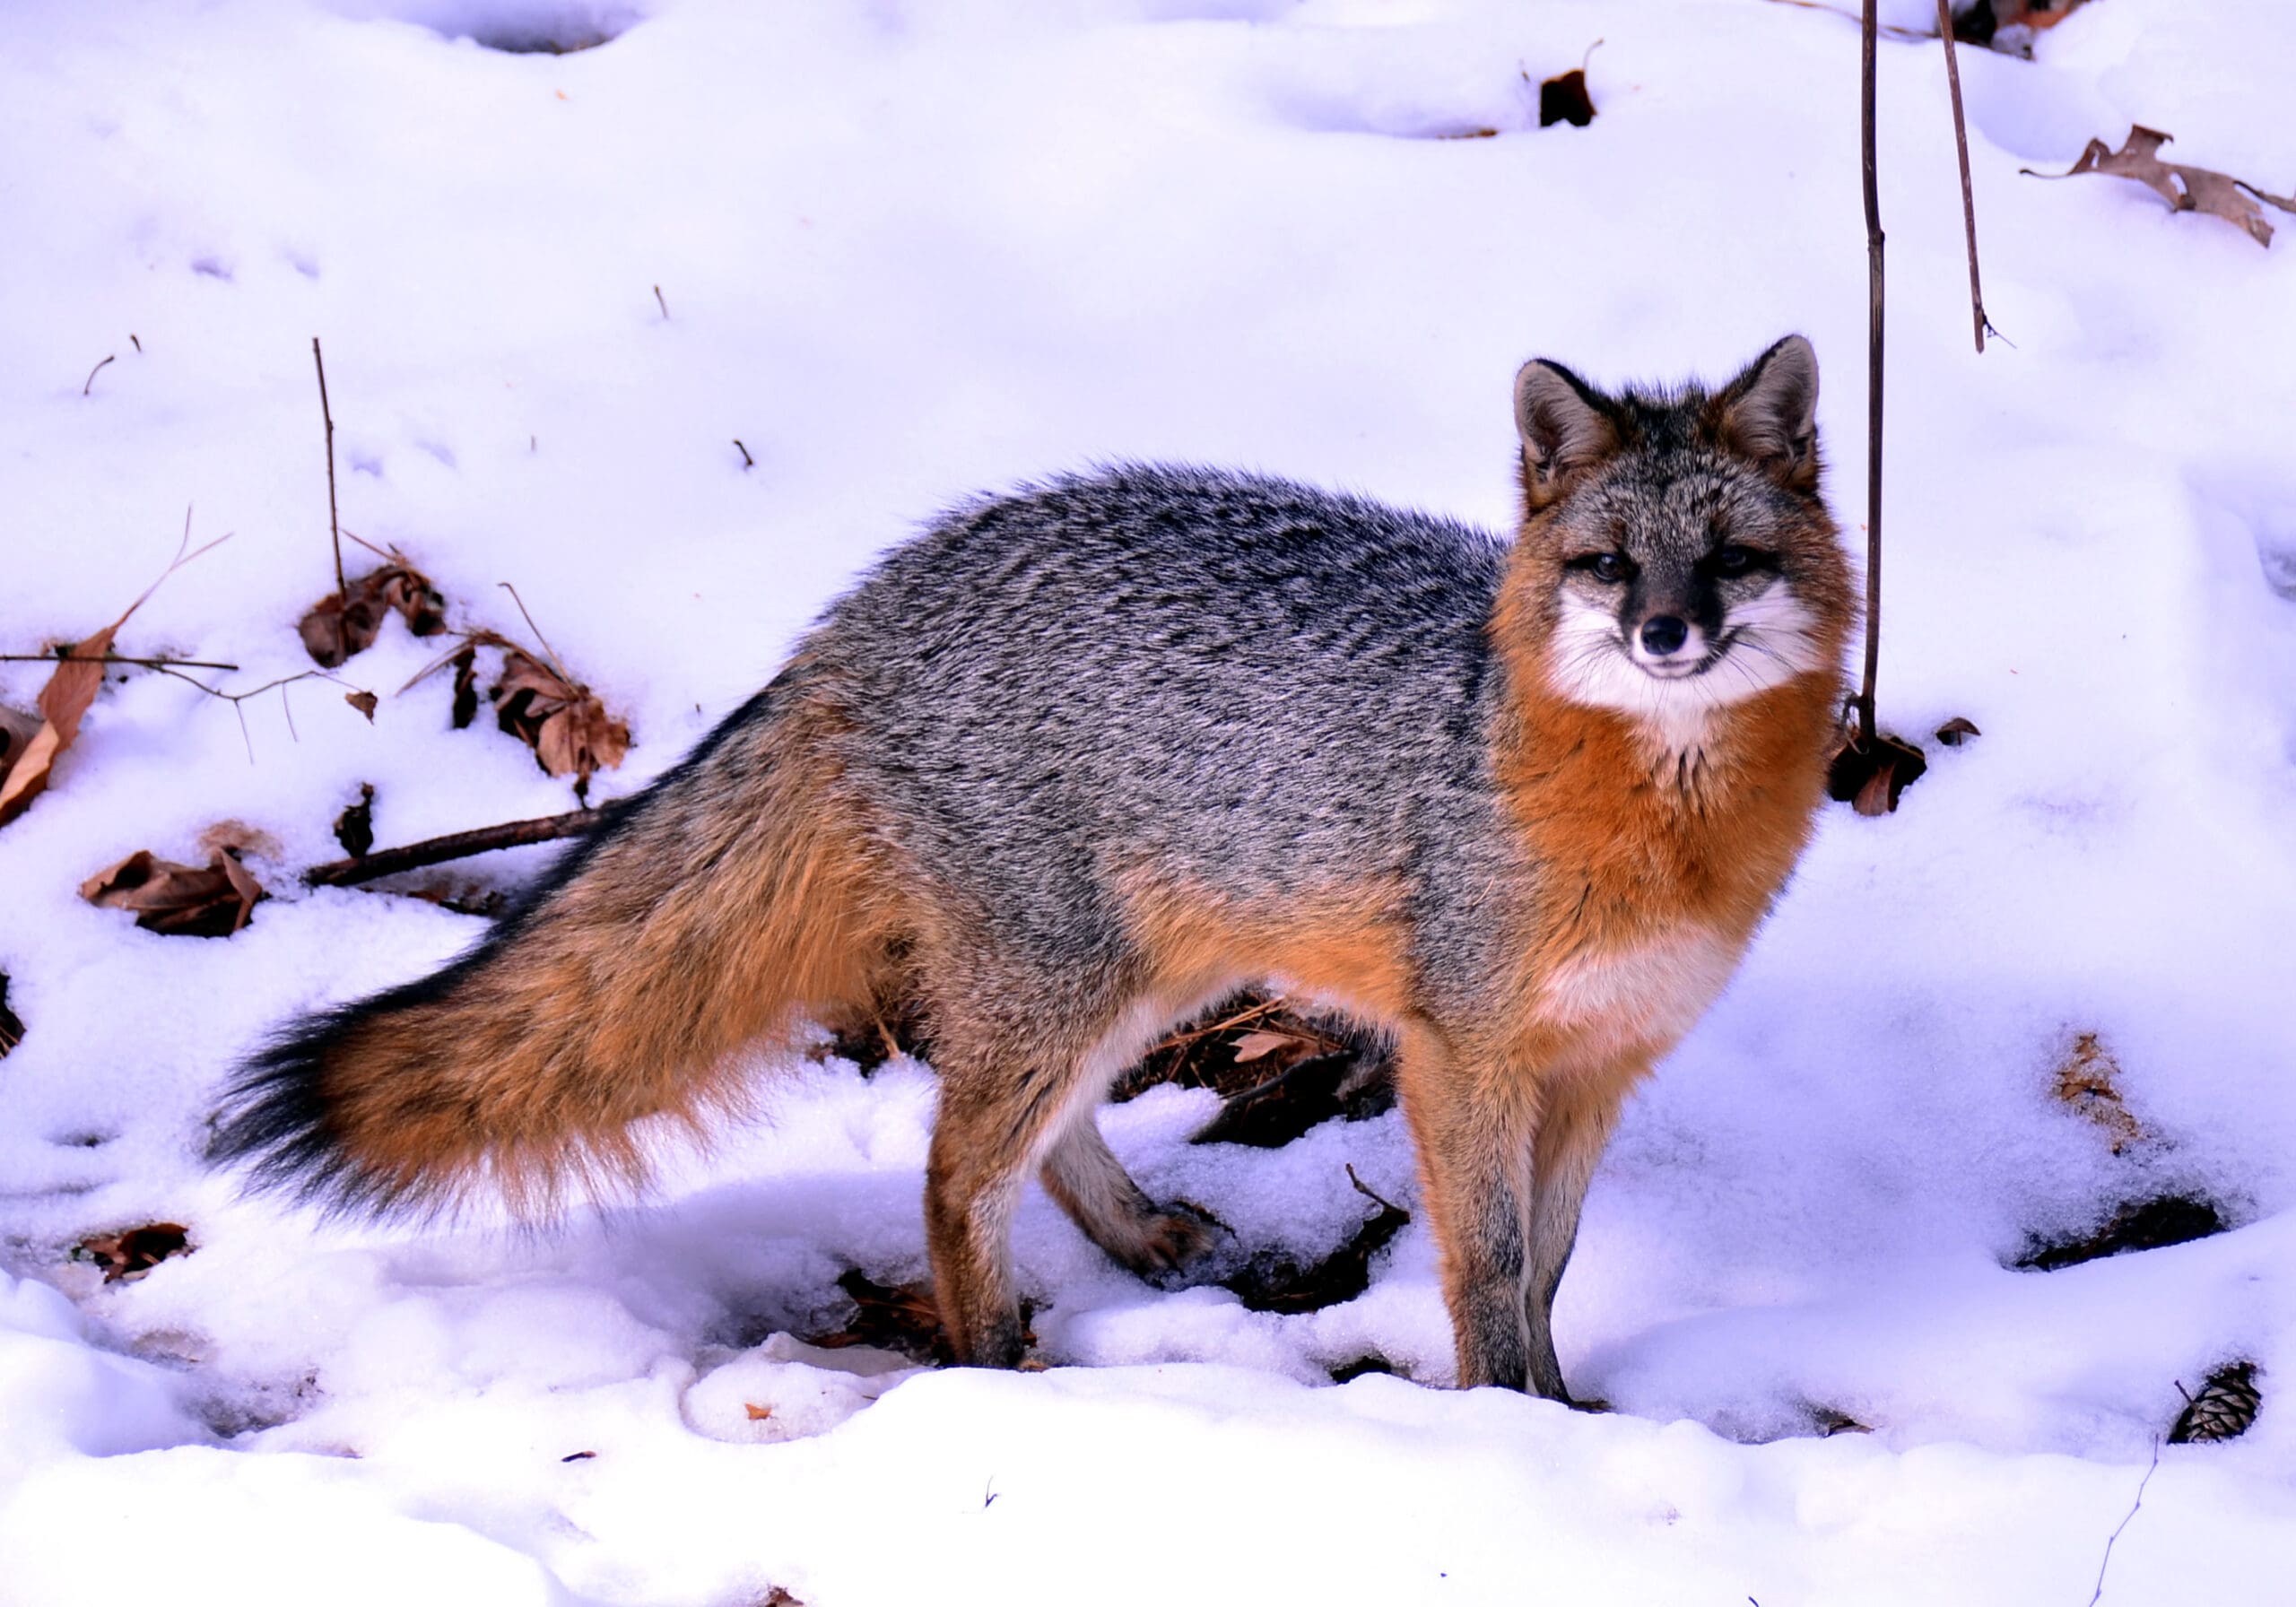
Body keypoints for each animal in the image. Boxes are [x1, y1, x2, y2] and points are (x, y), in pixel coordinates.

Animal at [212, 335, 1853, 1402]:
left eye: (1727, 559)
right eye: (1609, 567)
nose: (1667, 634)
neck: (1649, 823)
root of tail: (861, 608)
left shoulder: (1600, 1064)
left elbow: (1552, 1268)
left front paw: (1564, 1410)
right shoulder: (1463, 1055)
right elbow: (1490, 1276)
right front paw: (1510, 1425)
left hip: (1145, 976)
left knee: (1028, 1139)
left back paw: (1132, 1241)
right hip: (1074, 984)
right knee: (953, 1171)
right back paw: (993, 1365)